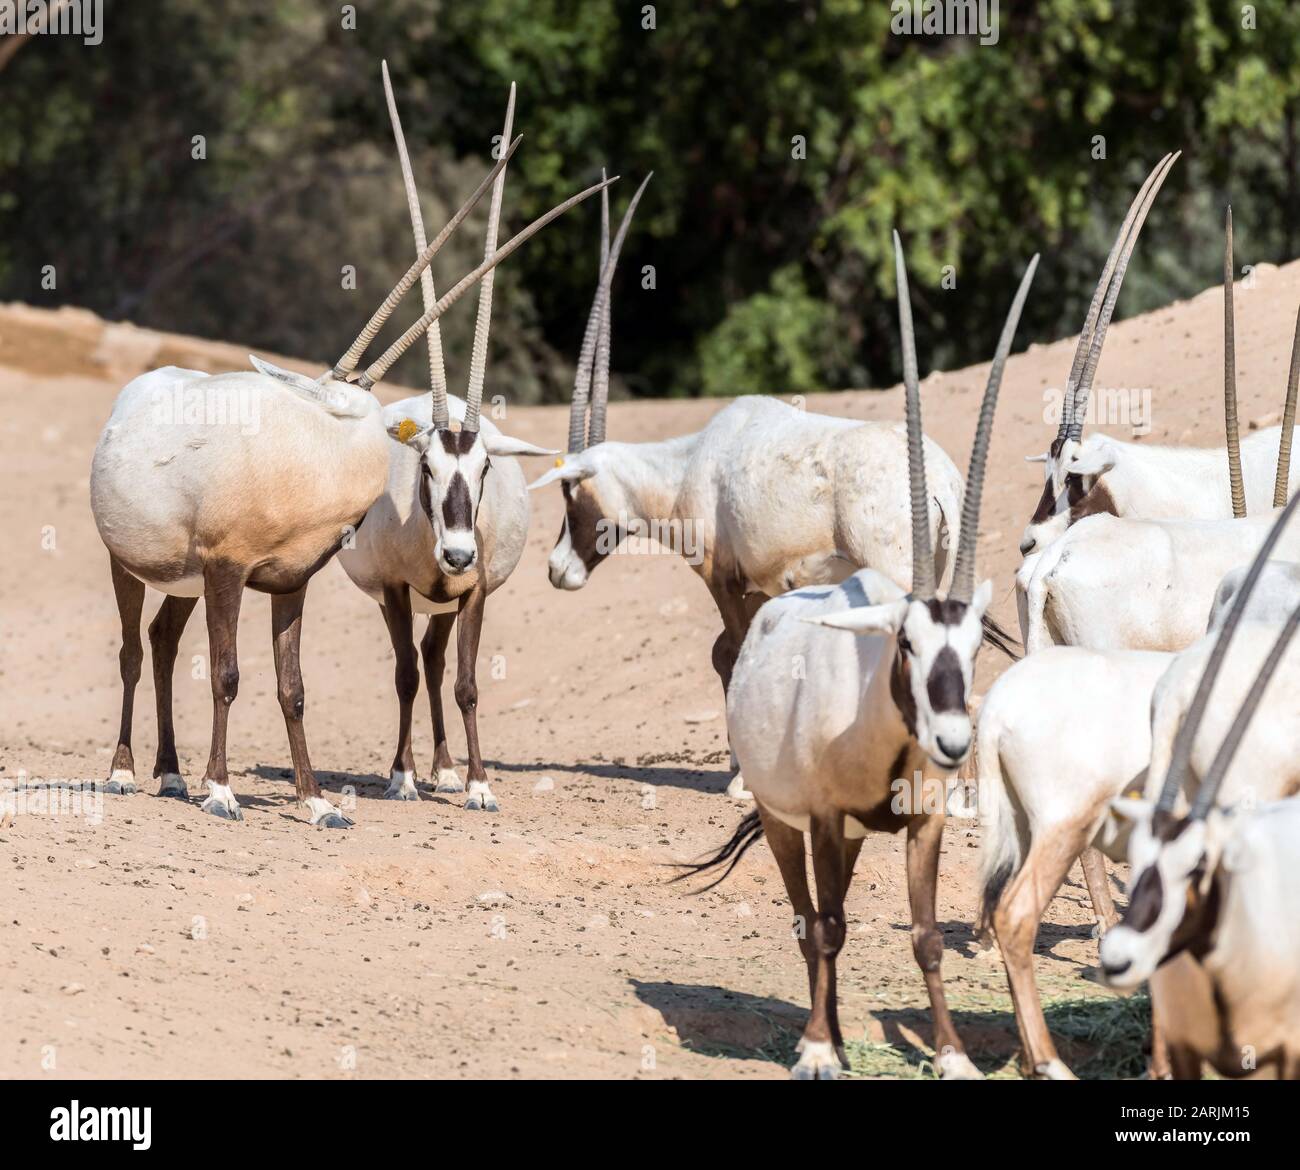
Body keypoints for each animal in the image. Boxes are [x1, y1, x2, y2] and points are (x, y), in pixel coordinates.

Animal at [90, 98, 612, 827]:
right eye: (423, 465)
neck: (312, 453)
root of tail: (137, 392)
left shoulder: (289, 583)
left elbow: (292, 686)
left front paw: (315, 802)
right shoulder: (227, 572)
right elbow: (226, 675)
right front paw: (222, 792)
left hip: (182, 583)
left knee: (164, 644)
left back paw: (169, 775)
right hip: (129, 566)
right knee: (133, 652)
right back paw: (123, 772)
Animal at [678, 234, 1038, 1079]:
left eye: (973, 645)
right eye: (905, 642)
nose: (952, 742)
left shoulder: (920, 825)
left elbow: (928, 937)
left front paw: (951, 1056)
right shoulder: (818, 817)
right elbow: (827, 925)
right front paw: (816, 1050)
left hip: (843, 835)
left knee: (830, 916)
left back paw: (839, 1033)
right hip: (789, 822)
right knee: (811, 919)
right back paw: (823, 1038)